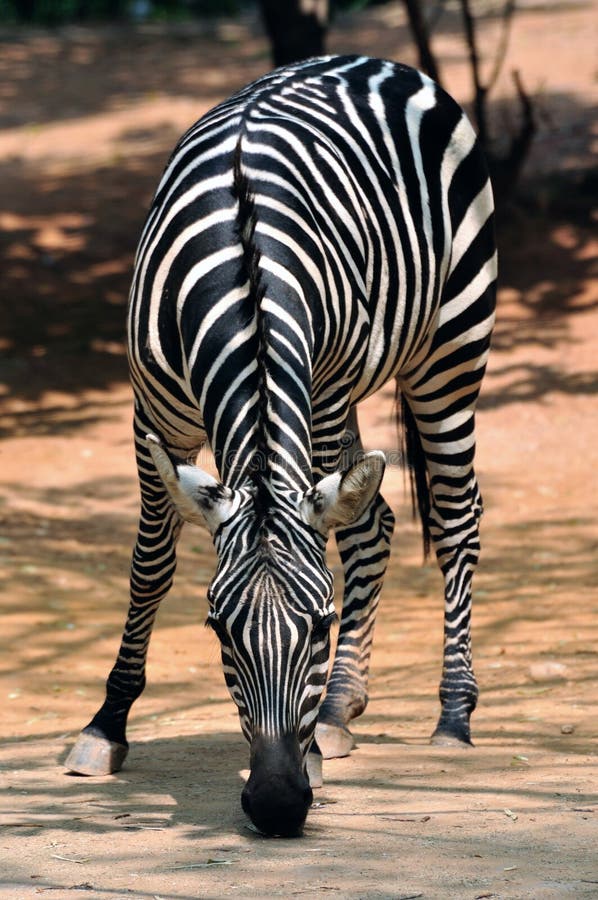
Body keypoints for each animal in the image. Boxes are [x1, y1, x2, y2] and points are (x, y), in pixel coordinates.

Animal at [66, 54, 496, 837]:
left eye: (321, 626)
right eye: (216, 629)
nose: (275, 806)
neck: (244, 275)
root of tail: (379, 61)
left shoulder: (317, 397)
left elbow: (335, 543)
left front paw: (314, 742)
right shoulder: (152, 417)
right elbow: (150, 566)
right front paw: (106, 724)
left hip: (451, 345)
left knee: (452, 518)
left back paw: (451, 714)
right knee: (375, 520)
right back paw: (340, 710)